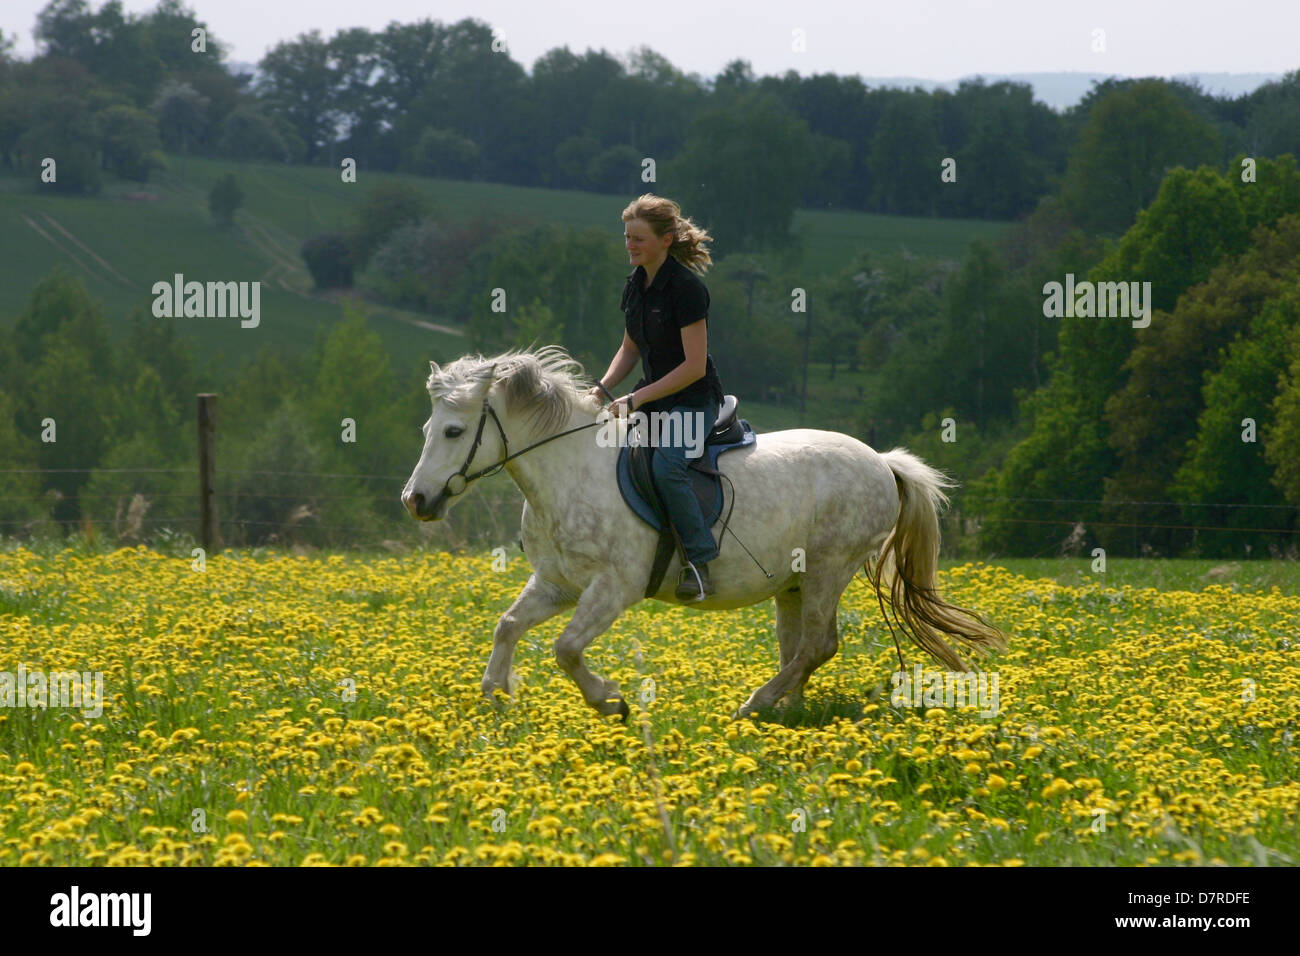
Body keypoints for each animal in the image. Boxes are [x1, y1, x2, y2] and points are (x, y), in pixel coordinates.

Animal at [401, 345, 1007, 720]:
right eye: (428, 428)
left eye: (453, 431)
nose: (416, 501)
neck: (568, 470)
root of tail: (882, 462)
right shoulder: (557, 584)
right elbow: (507, 626)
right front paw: (496, 694)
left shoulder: (613, 588)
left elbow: (567, 649)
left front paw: (609, 701)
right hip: (793, 583)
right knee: (799, 648)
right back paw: (787, 710)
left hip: (828, 569)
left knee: (817, 645)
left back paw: (754, 706)